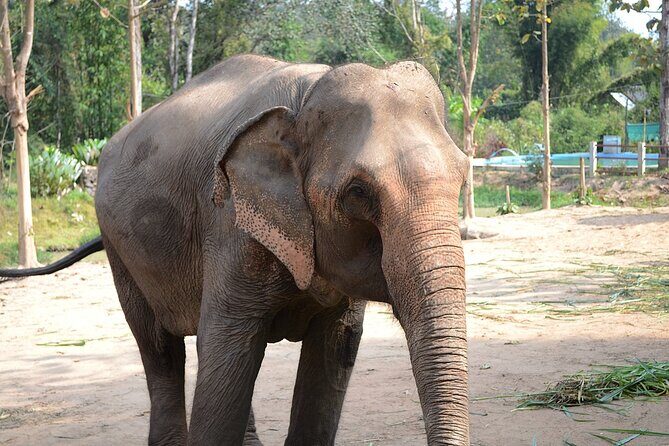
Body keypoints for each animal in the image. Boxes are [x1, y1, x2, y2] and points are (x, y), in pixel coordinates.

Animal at [0, 54, 469, 445]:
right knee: (162, 348)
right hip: (120, 247)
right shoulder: (230, 226)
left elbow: (333, 350)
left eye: (464, 174)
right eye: (358, 192)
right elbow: (227, 350)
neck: (306, 96)